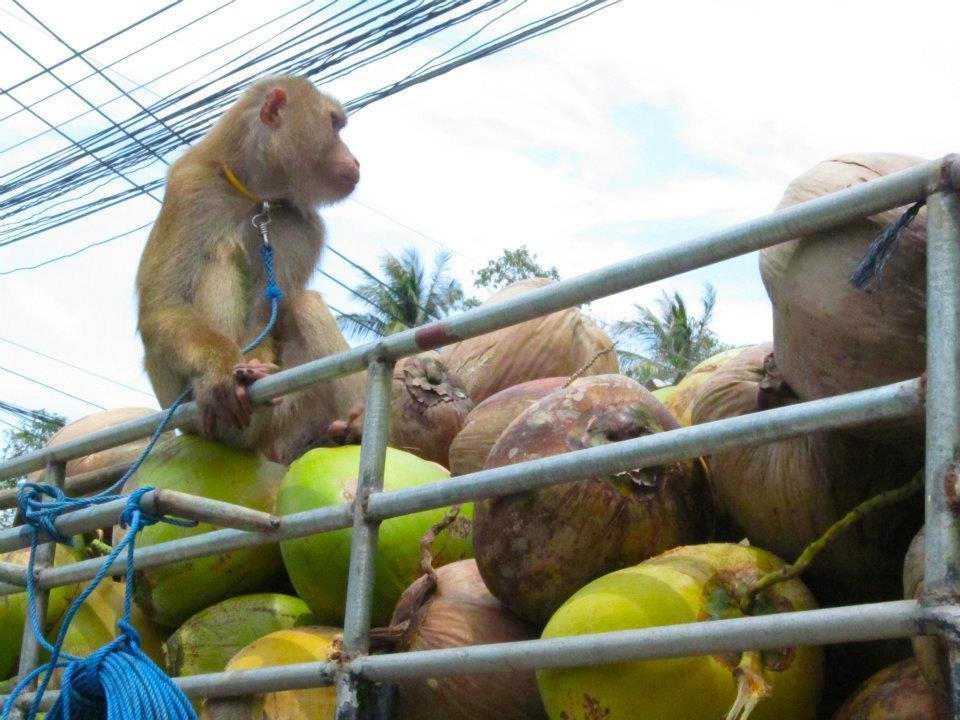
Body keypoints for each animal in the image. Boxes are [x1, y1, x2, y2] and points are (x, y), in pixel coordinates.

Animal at [136, 75, 366, 462]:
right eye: (335, 125)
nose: (357, 159)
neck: (258, 196)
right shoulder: (190, 187)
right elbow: (163, 307)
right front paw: (222, 369)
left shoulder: (307, 228)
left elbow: (265, 315)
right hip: (196, 419)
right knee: (221, 254)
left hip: (282, 418)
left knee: (304, 305)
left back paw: (355, 427)